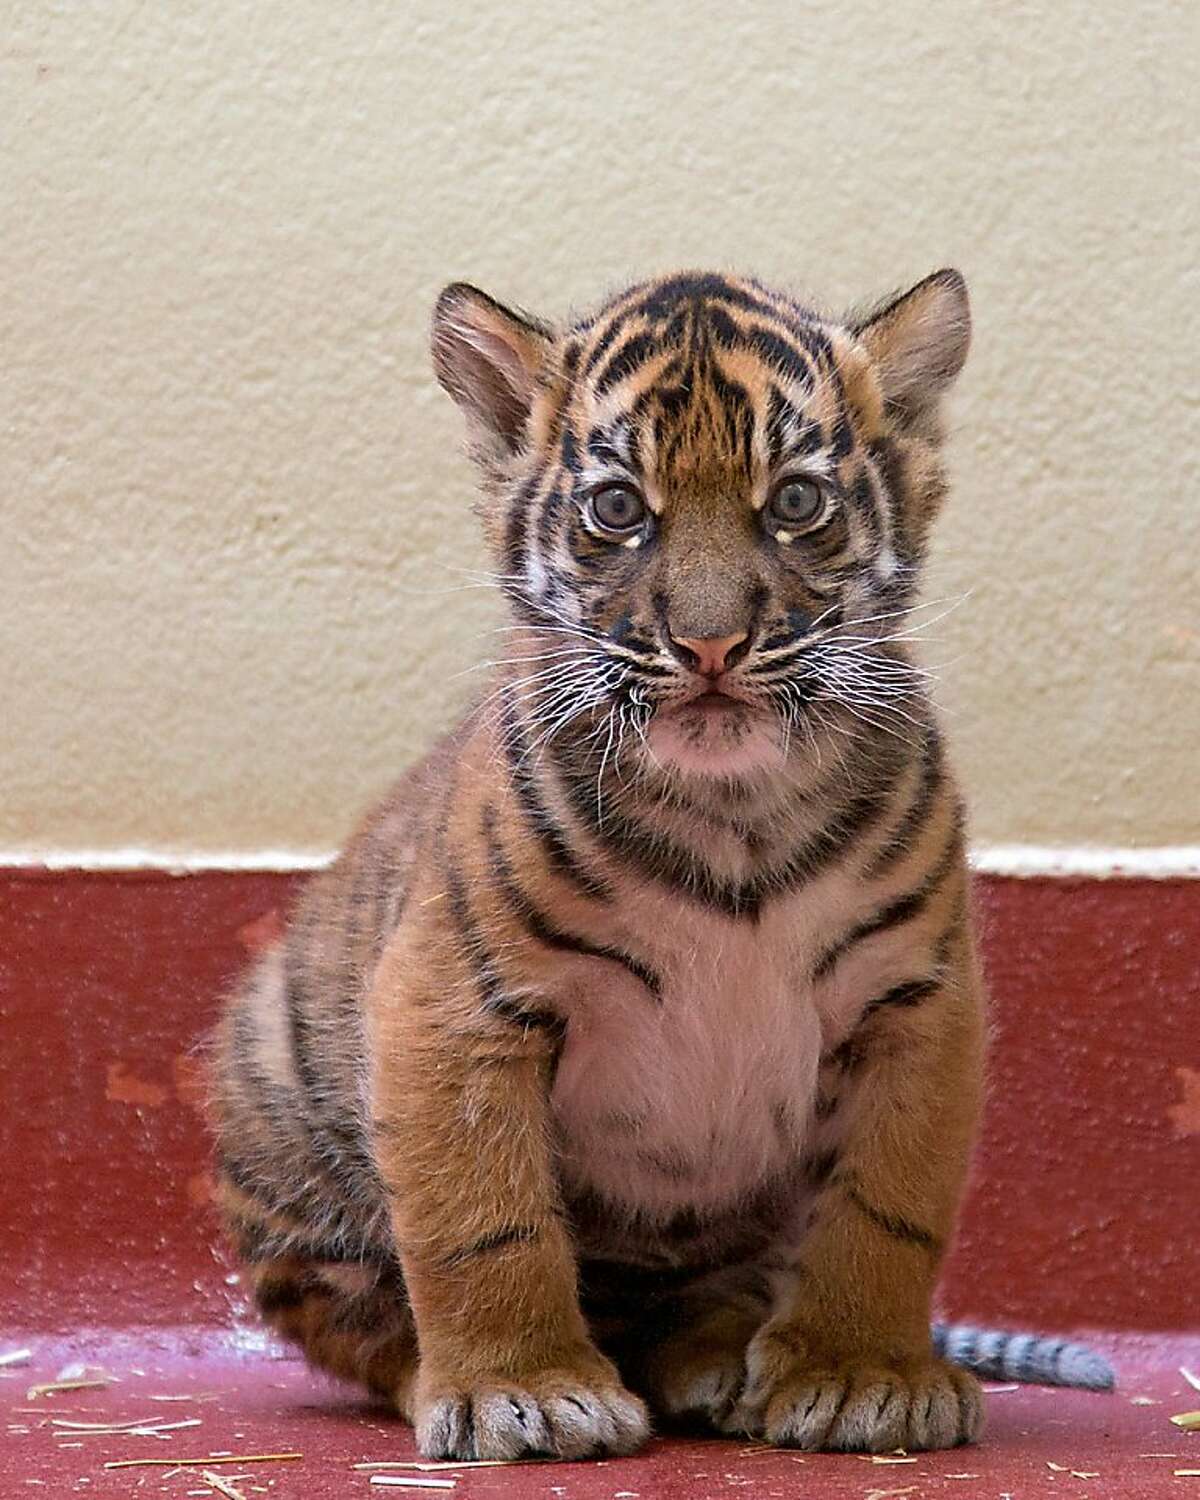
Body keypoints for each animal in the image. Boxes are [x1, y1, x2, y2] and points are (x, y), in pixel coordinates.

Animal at [209, 267, 1113, 1463]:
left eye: (795, 502)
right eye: (619, 510)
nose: (711, 645)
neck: (734, 815)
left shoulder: (918, 1002)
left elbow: (884, 1212)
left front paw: (861, 1374)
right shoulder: (455, 1005)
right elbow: (481, 1223)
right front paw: (522, 1394)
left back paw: (721, 1361)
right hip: (280, 1120)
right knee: (366, 1325)